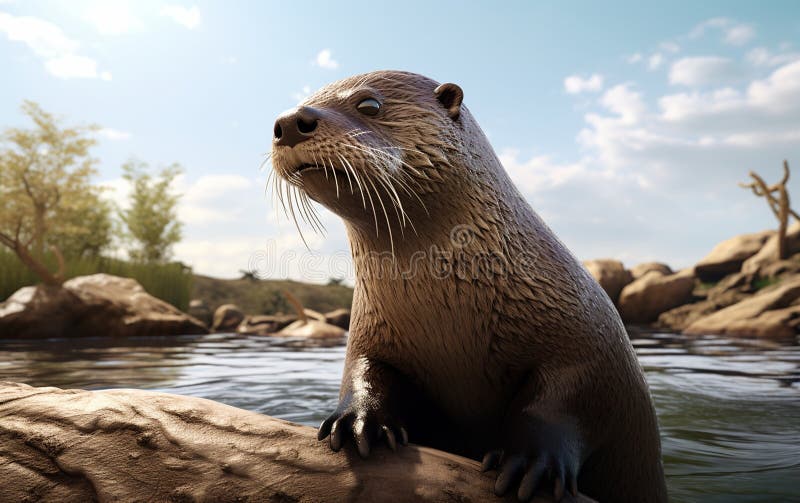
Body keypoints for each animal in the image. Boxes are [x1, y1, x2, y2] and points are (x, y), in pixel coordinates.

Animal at [270, 71, 667, 502]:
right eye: (308, 97)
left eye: (369, 104)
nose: (289, 122)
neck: (448, 311)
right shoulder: (371, 331)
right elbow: (365, 369)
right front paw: (357, 420)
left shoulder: (585, 345)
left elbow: (562, 404)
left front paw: (528, 463)